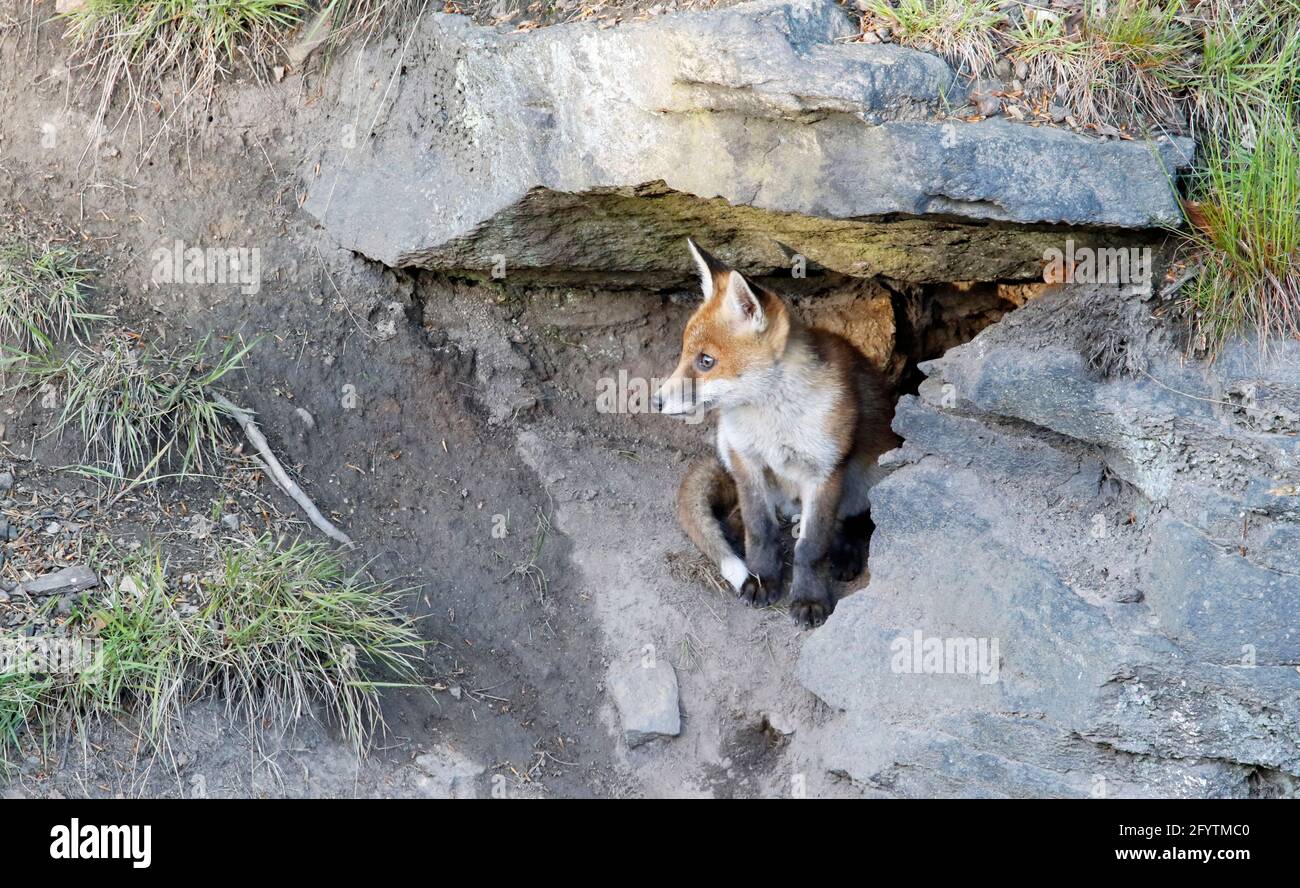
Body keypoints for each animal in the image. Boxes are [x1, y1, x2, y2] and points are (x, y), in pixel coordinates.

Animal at [652, 239, 901, 628]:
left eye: (706, 361)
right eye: (683, 355)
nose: (654, 401)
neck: (773, 424)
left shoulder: (824, 472)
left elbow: (812, 547)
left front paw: (809, 598)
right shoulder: (746, 460)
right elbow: (759, 529)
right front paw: (761, 578)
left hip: (872, 472)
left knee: (850, 520)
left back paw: (844, 553)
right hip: (727, 449)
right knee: (740, 516)